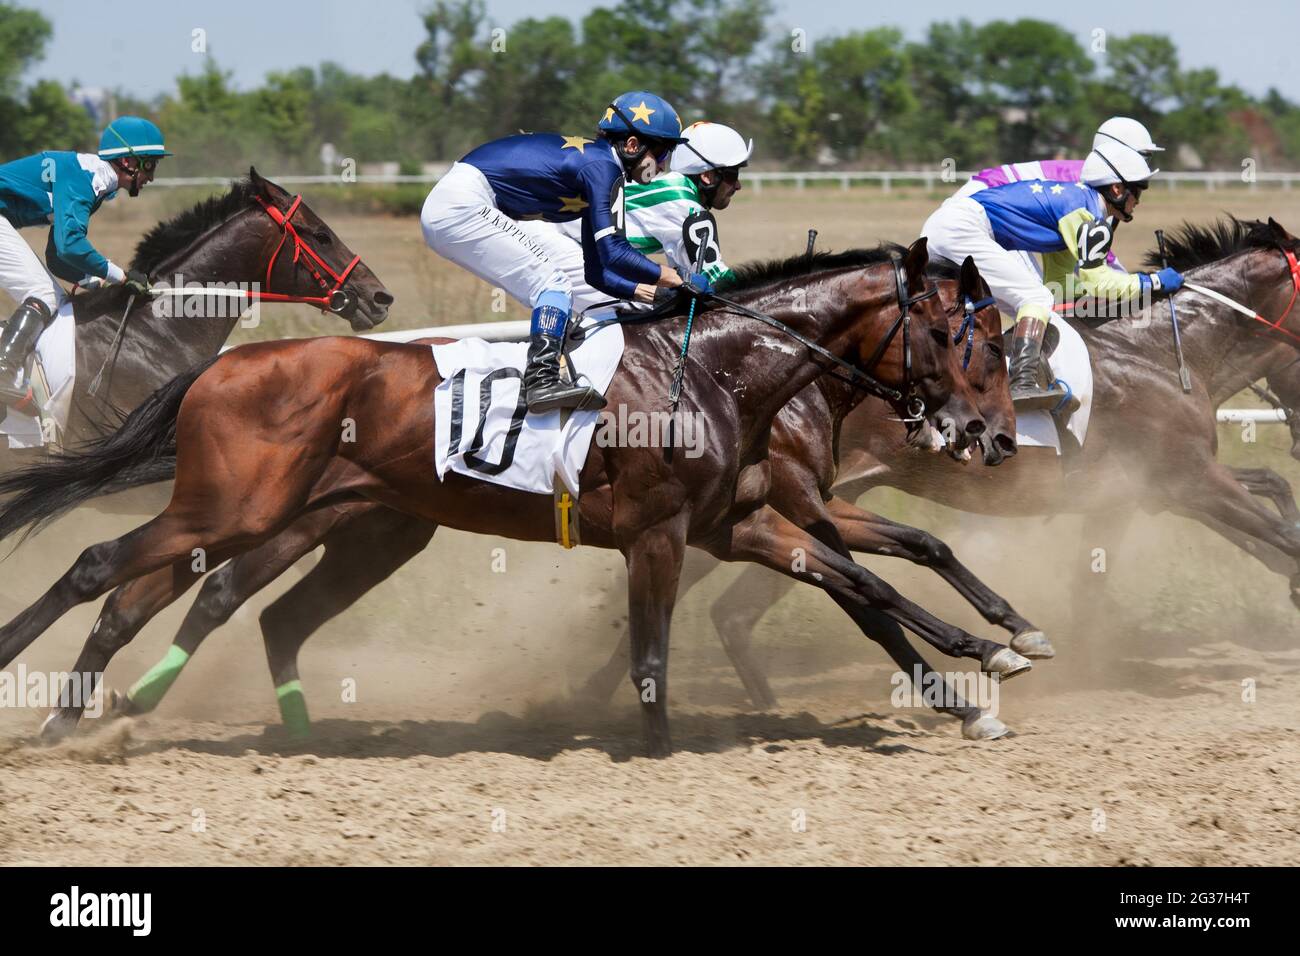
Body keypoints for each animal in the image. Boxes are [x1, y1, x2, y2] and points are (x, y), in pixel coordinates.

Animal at [0, 240, 1010, 756]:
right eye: (961, 337)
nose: (982, 431)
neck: (718, 370)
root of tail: (221, 366)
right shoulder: (662, 532)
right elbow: (653, 654)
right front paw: (656, 748)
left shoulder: (740, 521)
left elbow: (871, 581)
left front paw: (983, 659)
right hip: (237, 508)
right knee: (104, 567)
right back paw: (54, 702)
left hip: (354, 529)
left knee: (226, 604)